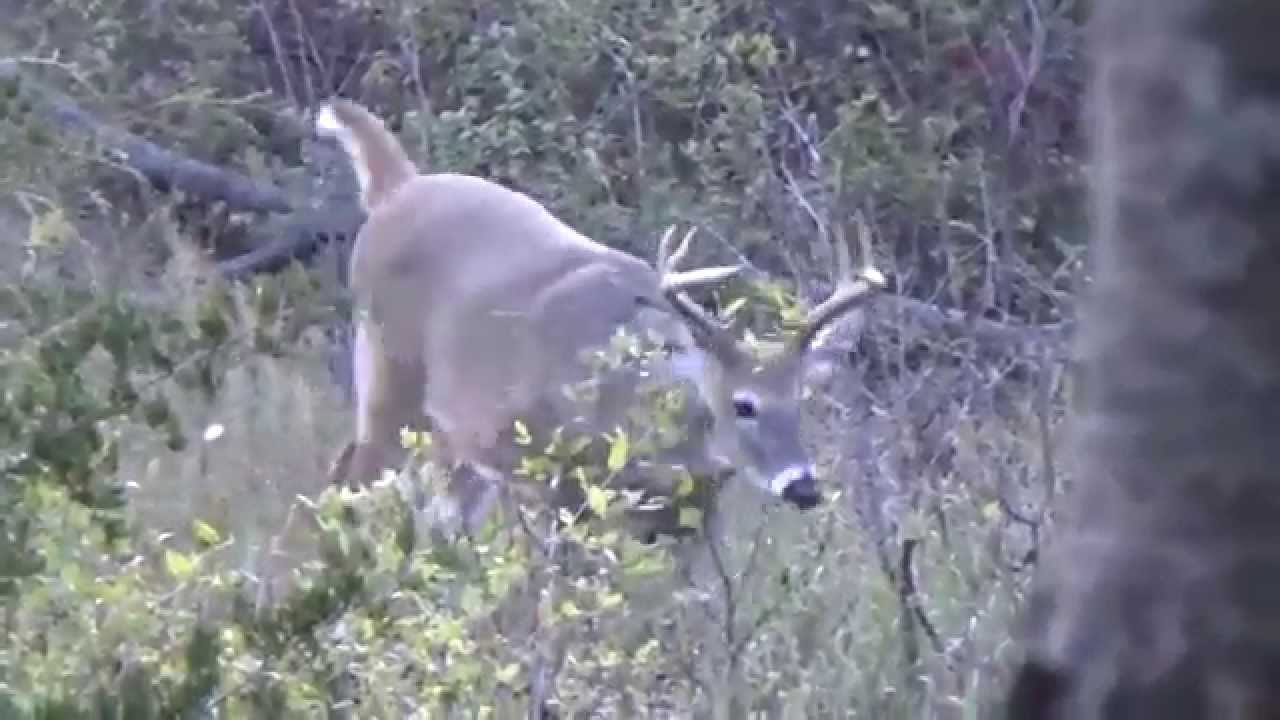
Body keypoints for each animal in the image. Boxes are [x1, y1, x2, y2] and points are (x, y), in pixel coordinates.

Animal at [314, 97, 886, 542]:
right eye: (743, 404)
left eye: (802, 400)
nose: (803, 486)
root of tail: (394, 189)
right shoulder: (554, 486)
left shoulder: (692, 519)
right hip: (389, 380)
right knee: (347, 478)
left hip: (452, 438)